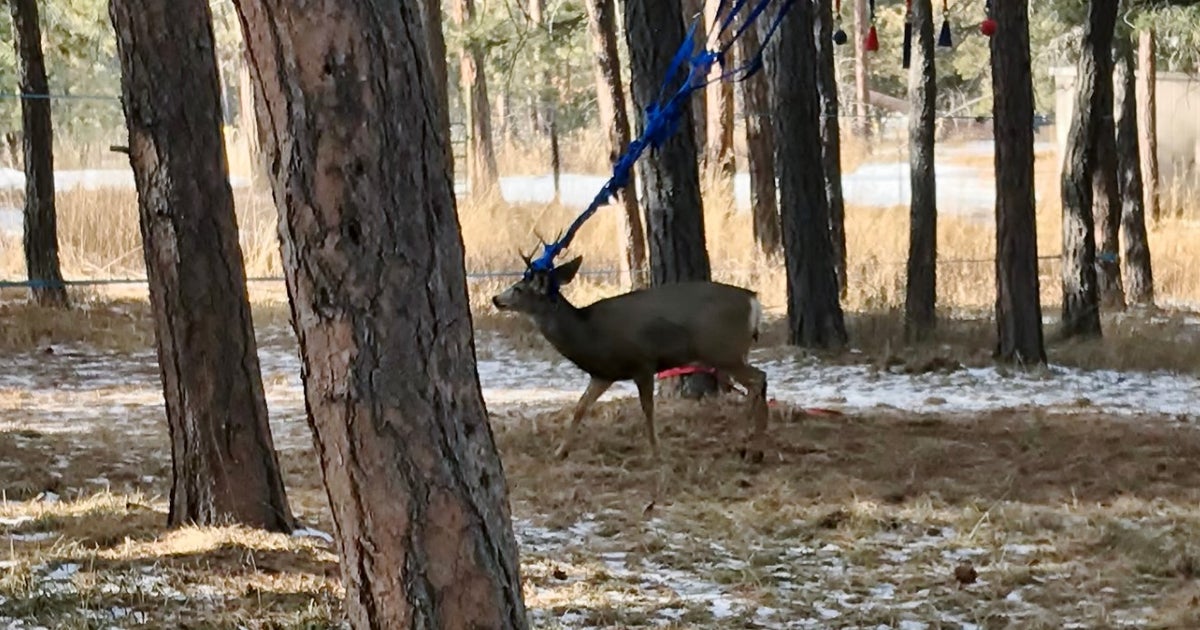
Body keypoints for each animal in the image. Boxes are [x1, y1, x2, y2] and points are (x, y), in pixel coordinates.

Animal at [491, 252, 770, 463]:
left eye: (518, 288)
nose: (495, 299)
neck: (588, 334)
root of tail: (753, 300)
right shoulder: (603, 373)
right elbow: (580, 407)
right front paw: (560, 451)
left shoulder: (642, 362)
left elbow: (647, 409)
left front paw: (656, 452)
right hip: (734, 351)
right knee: (759, 380)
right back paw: (755, 446)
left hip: (722, 349)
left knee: (757, 380)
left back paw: (748, 445)